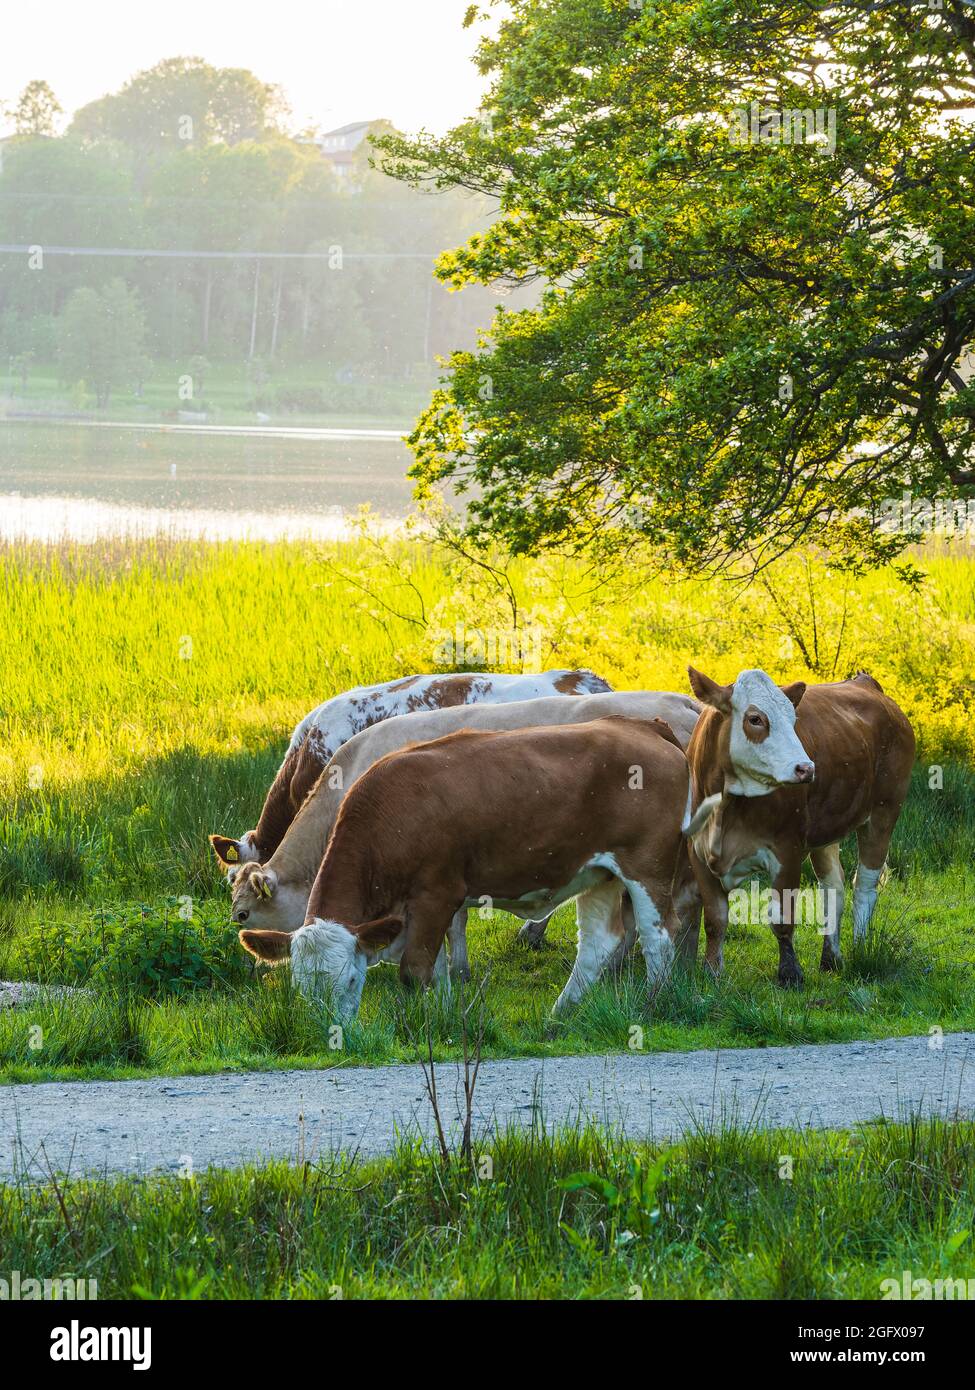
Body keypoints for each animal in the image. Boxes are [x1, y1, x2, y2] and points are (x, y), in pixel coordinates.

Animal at [238, 717, 720, 1020]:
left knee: (659, 937)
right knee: (599, 944)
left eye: (352, 980)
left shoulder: (435, 894)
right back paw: (559, 1015)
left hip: (646, 868)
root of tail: (644, 726)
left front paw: (415, 1027)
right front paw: (443, 1017)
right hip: (598, 874)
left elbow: (415, 971)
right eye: (301, 987)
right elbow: (439, 969)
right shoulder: (427, 908)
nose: (331, 1034)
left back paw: (651, 1006)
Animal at [684, 667, 915, 987]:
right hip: (827, 831)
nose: (806, 768)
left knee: (864, 887)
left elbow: (782, 919)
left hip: (885, 811)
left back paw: (859, 950)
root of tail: (865, 684)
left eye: (793, 719)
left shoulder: (788, 851)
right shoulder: (698, 854)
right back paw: (831, 957)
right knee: (834, 886)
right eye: (755, 719)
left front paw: (790, 973)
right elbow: (716, 919)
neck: (726, 809)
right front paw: (712, 972)